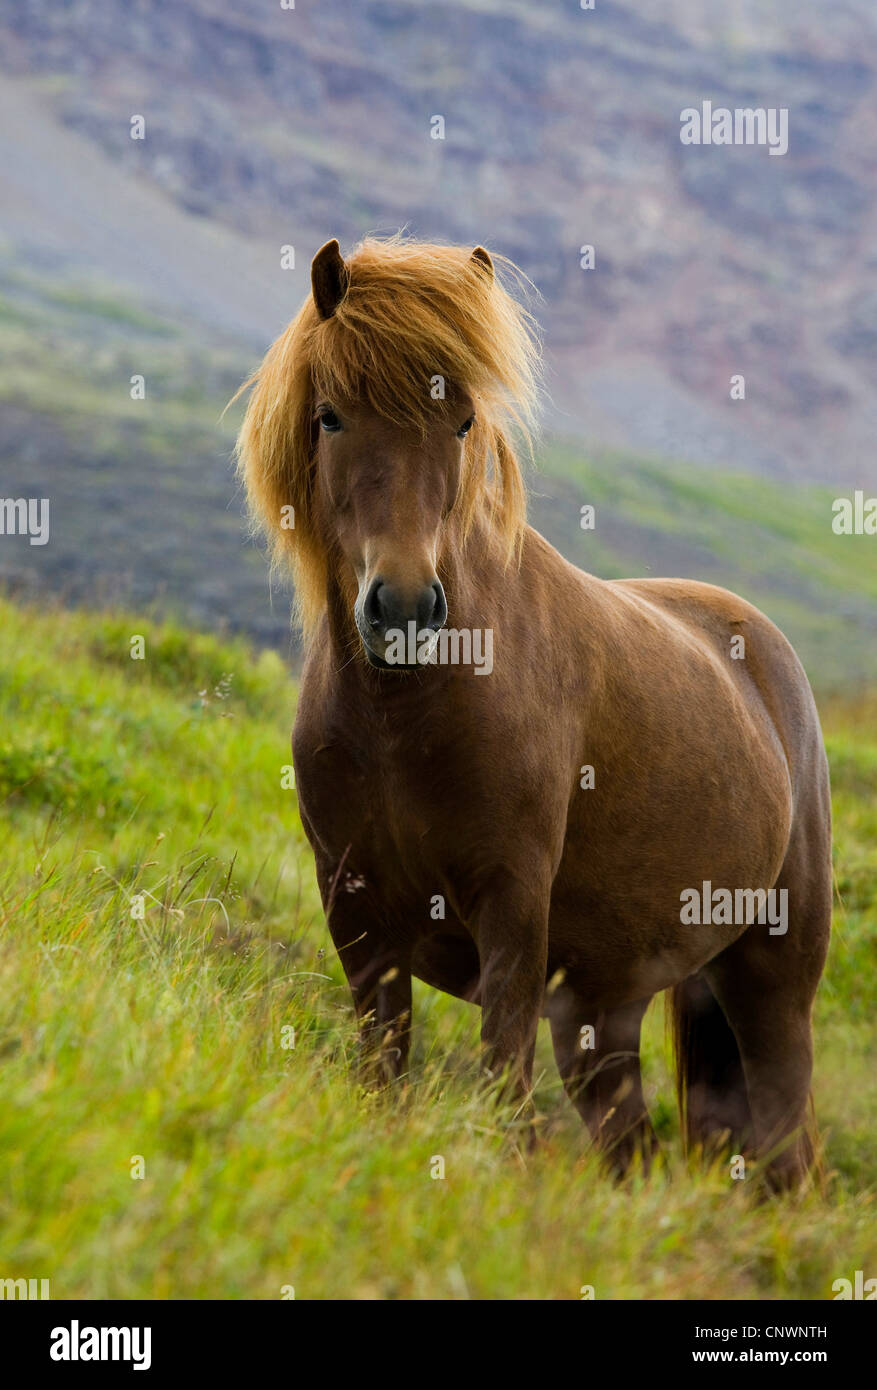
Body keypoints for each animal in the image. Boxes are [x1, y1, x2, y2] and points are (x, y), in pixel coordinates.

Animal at [236, 234, 832, 1188]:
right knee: (635, 1145)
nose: (405, 608)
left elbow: (499, 1081)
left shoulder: (511, 908)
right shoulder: (356, 913)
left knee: (786, 1151)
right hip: (603, 1007)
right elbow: (382, 1071)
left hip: (770, 981)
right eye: (329, 417)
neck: (405, 715)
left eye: (462, 422)